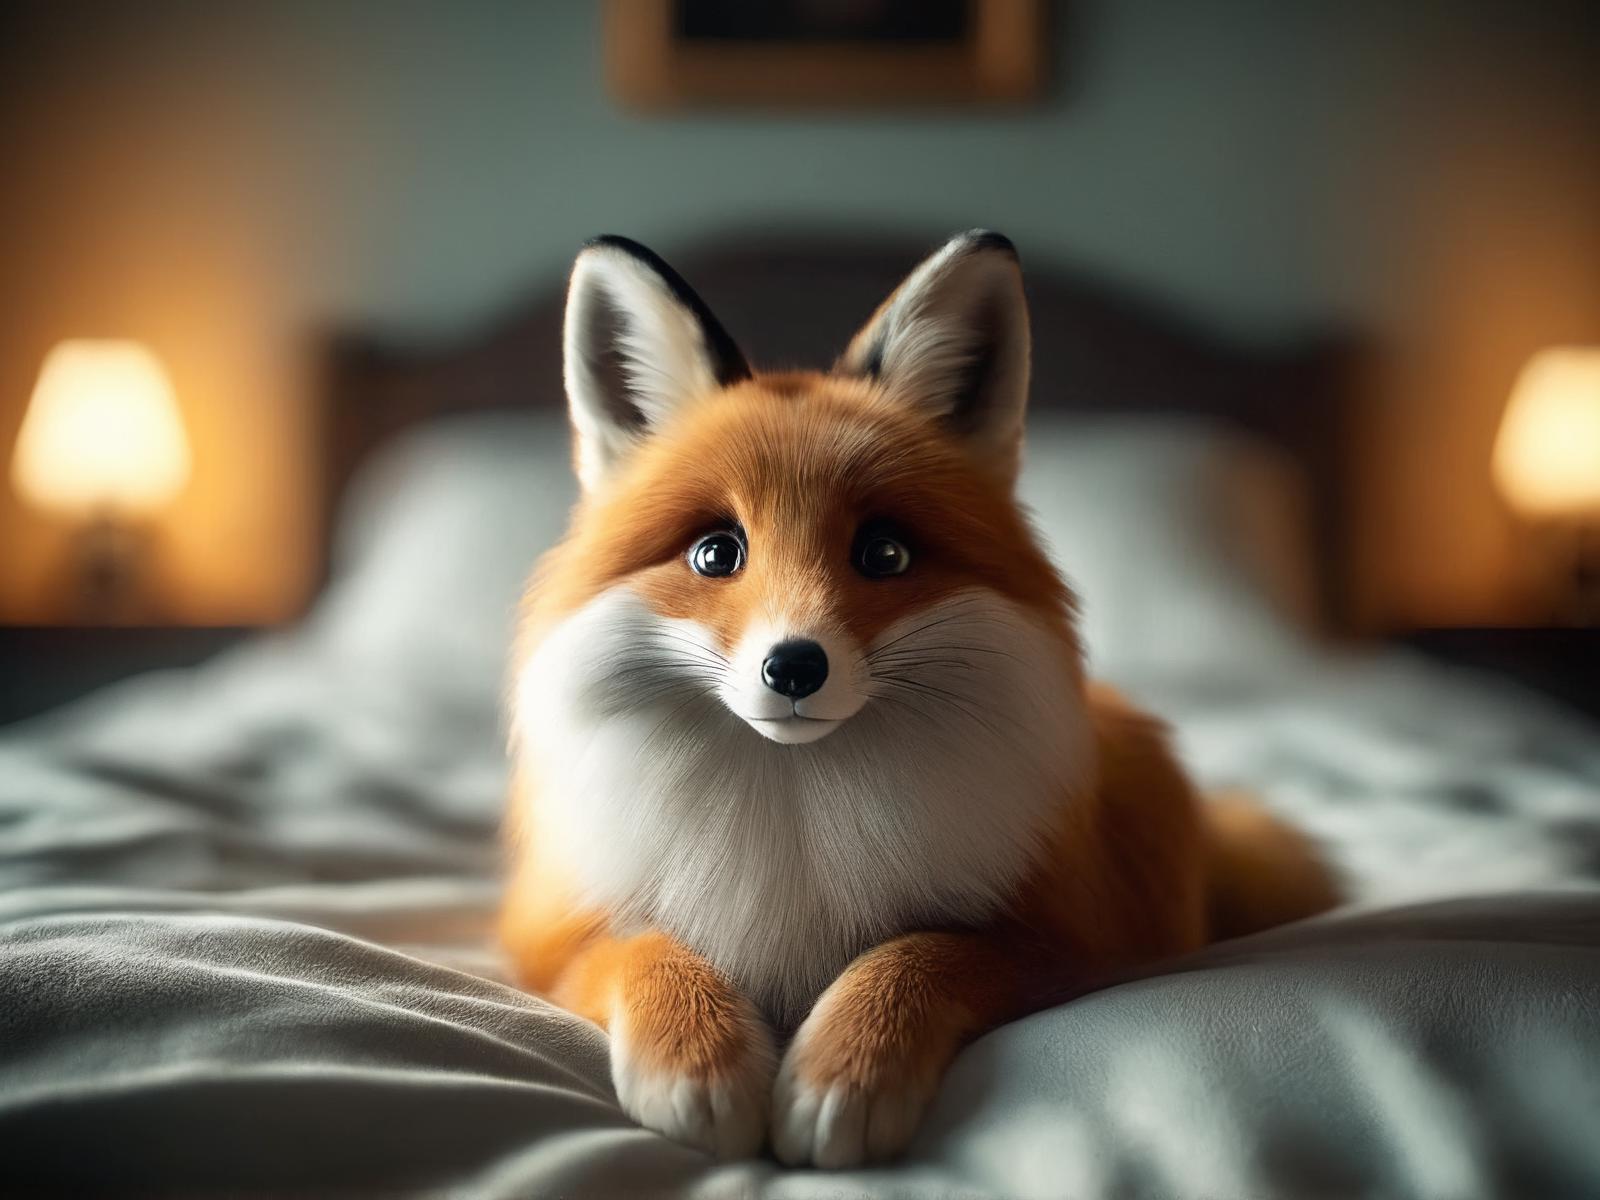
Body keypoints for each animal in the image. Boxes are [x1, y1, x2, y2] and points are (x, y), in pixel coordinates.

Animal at [499, 230, 1338, 1168]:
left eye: (885, 554)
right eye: (716, 553)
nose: (795, 667)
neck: (795, 819)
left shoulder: (1076, 944)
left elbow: (923, 953)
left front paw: (846, 1070)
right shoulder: (549, 940)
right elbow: (645, 953)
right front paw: (698, 1061)